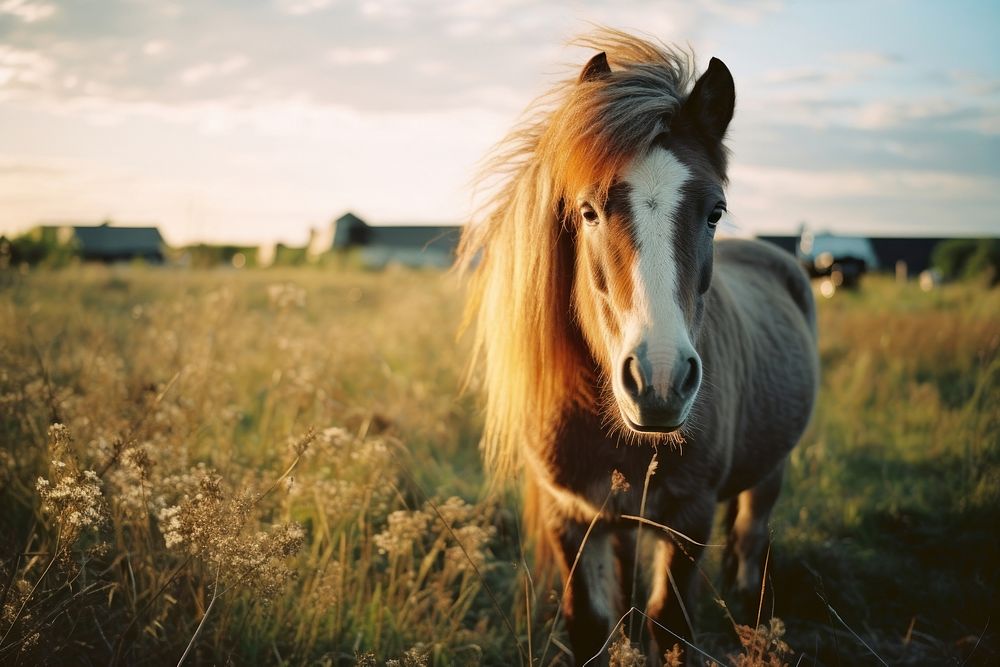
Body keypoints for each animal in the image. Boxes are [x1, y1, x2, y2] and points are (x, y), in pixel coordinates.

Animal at [457, 30, 819, 665]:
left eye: (715, 212)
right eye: (587, 210)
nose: (660, 381)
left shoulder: (689, 517)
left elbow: (669, 625)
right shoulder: (572, 518)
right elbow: (592, 623)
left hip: (769, 472)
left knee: (751, 538)